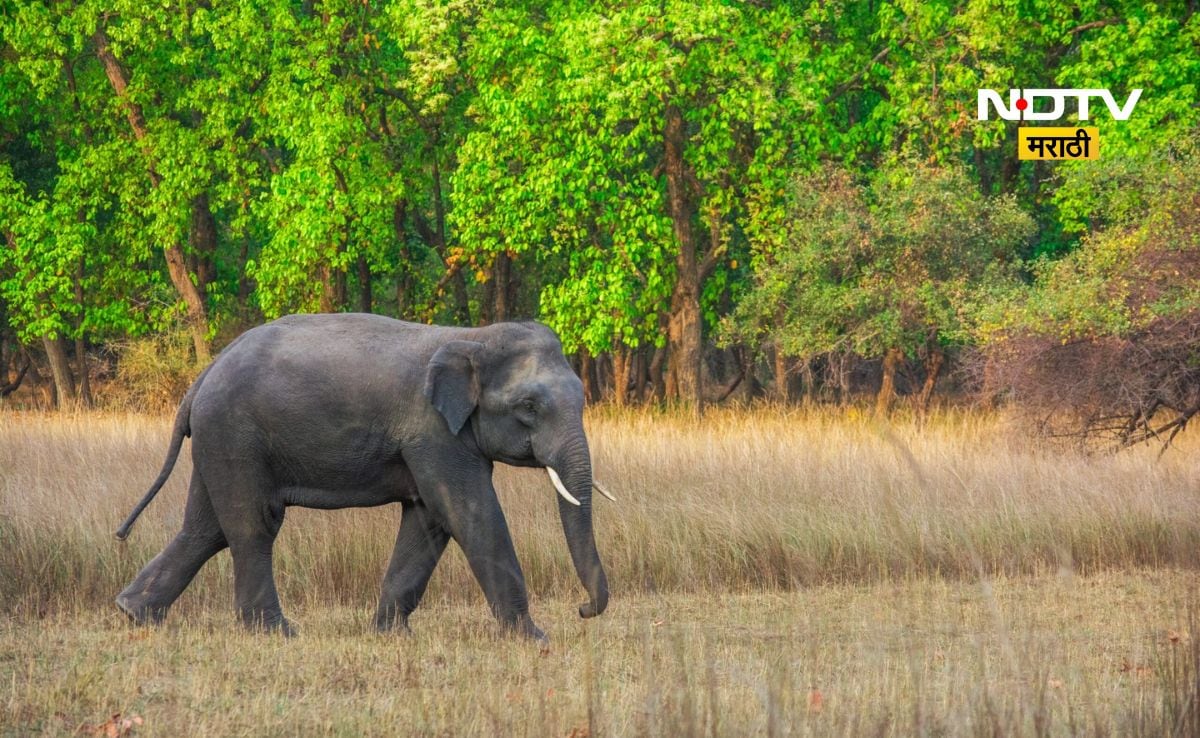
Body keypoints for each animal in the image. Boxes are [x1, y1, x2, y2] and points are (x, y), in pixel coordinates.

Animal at [114, 314, 612, 641]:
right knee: (253, 526)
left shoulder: (435, 439)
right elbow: (469, 513)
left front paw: (390, 635)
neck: (470, 338)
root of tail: (202, 377)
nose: (583, 609)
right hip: (236, 436)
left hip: (219, 440)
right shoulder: (433, 431)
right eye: (529, 407)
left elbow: (429, 519)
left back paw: (135, 614)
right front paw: (534, 638)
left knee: (205, 529)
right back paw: (277, 633)